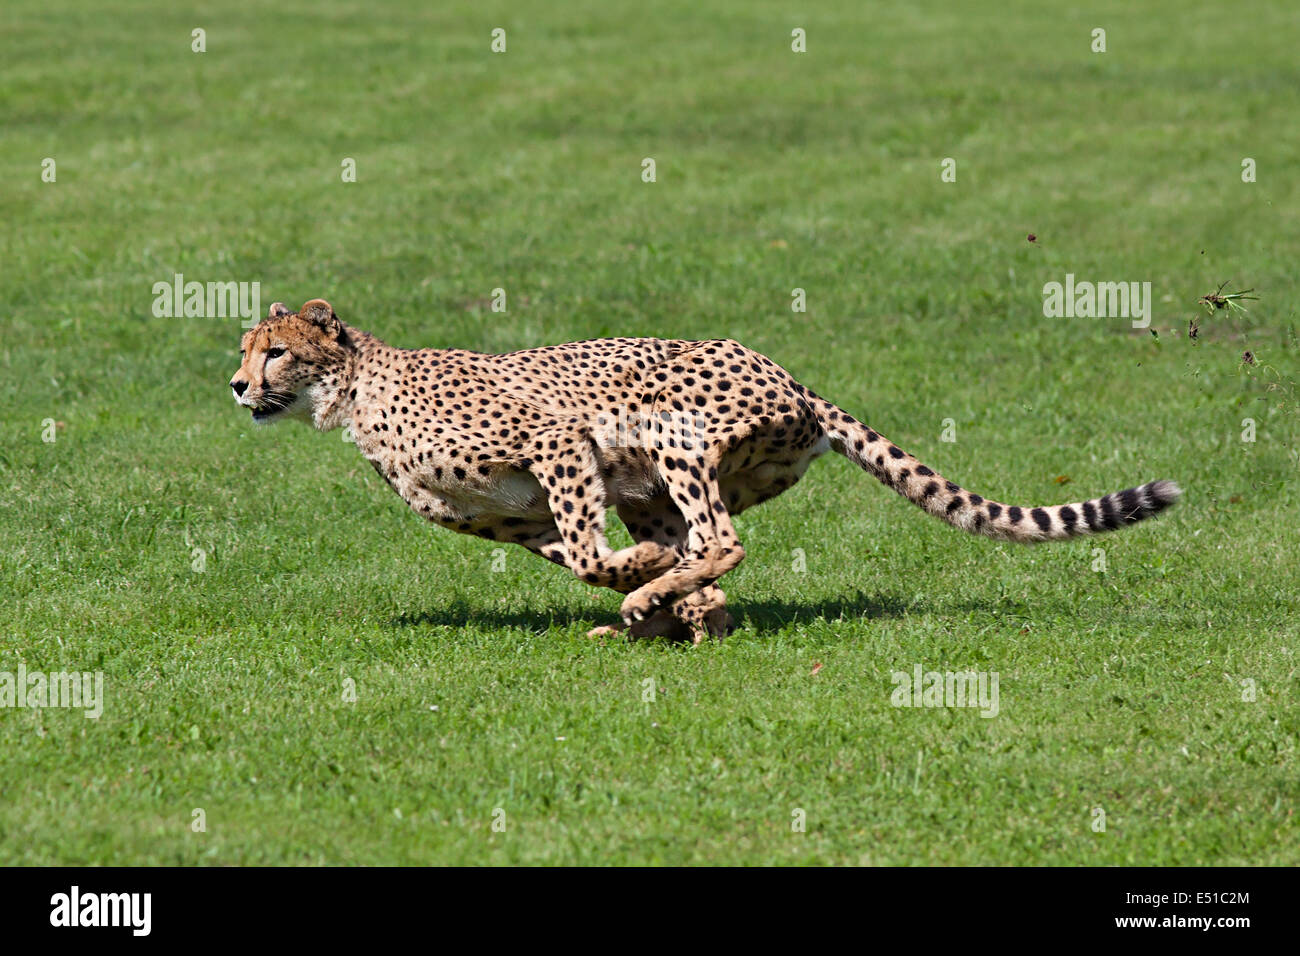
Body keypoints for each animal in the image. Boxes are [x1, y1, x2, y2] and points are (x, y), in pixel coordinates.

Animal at [229, 299, 1182, 643]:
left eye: (275, 351)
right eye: (247, 349)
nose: (237, 385)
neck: (355, 391)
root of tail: (793, 377)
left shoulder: (559, 441)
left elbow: (591, 554)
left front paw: (647, 584)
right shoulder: (516, 517)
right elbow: (580, 556)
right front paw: (655, 593)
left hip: (671, 435)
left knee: (720, 541)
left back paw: (666, 601)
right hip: (654, 481)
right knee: (702, 554)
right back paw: (678, 614)